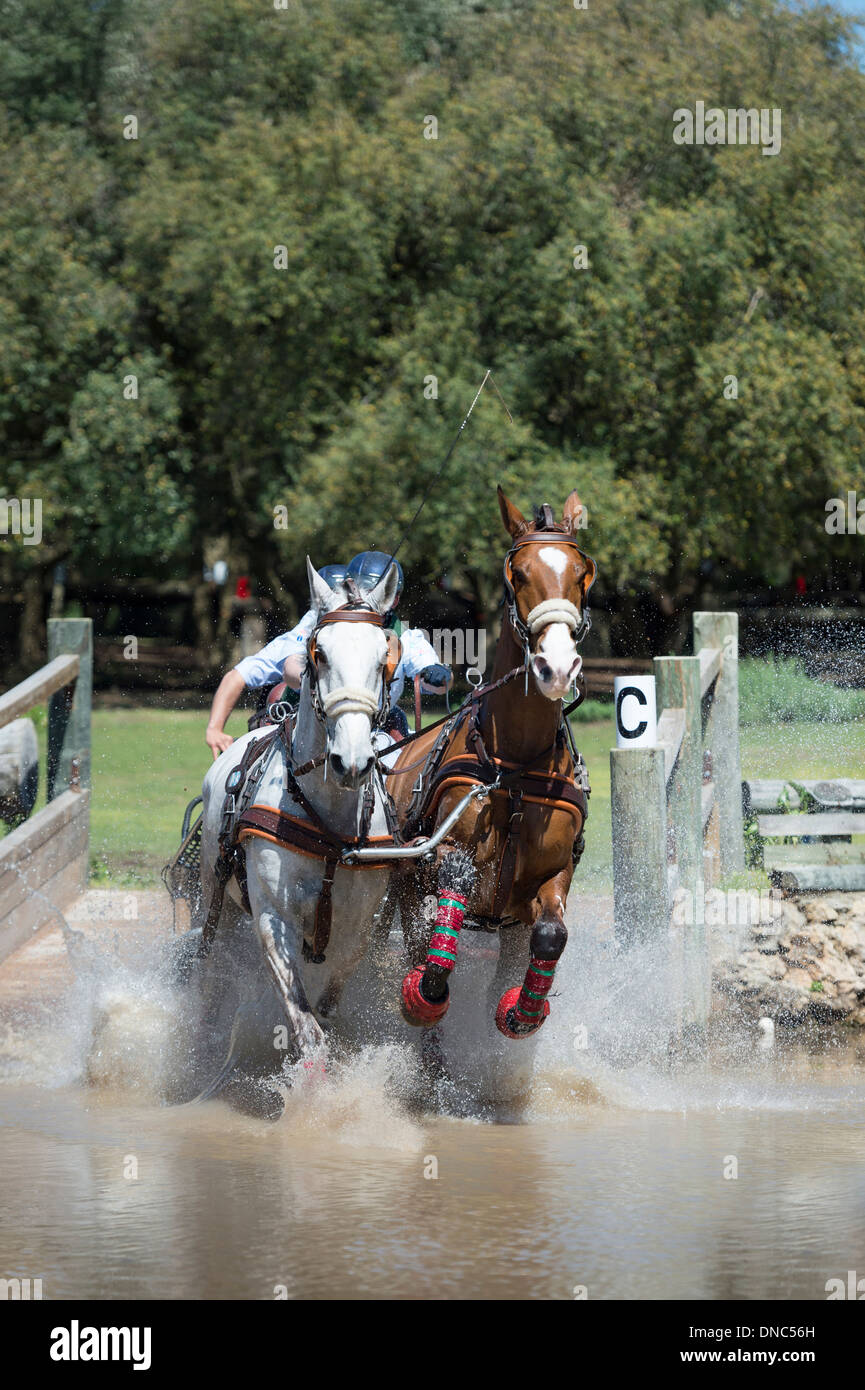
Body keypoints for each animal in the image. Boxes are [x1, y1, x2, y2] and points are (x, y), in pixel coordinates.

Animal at [178, 559, 402, 1116]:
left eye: (384, 656)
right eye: (318, 654)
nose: (351, 761)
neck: (330, 822)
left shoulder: (357, 926)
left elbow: (330, 1003)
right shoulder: (272, 915)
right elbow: (307, 1028)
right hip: (214, 896)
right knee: (210, 965)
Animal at [384, 486, 595, 1051]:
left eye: (582, 573)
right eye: (517, 573)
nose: (557, 667)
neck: (515, 766)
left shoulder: (550, 877)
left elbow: (551, 935)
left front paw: (521, 1012)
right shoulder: (447, 855)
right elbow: (439, 949)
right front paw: (423, 995)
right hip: (404, 886)